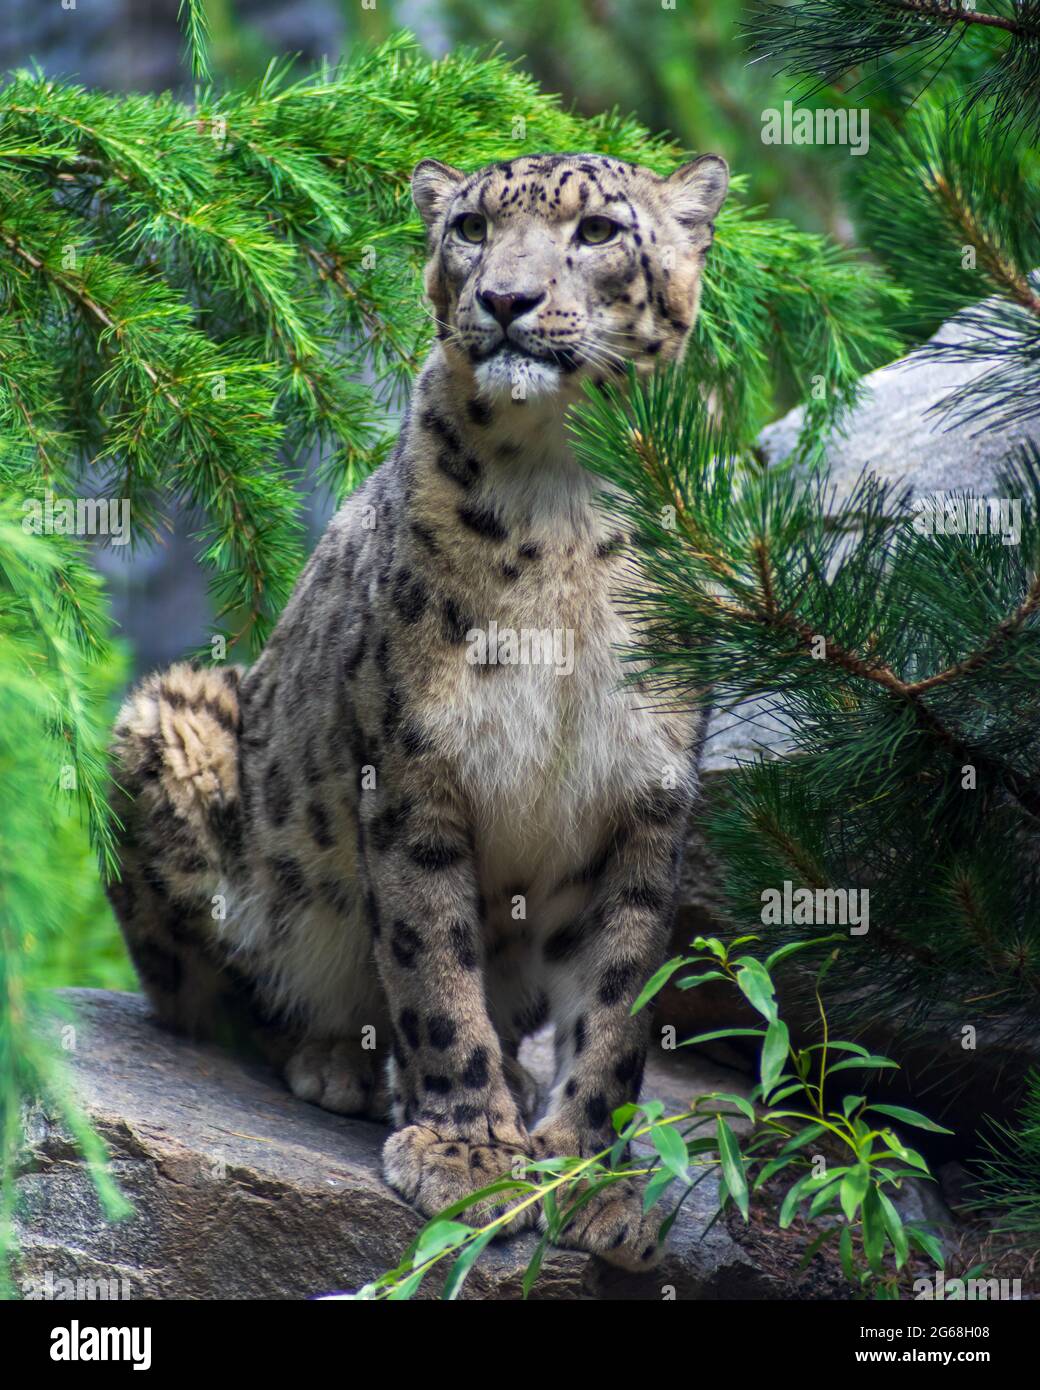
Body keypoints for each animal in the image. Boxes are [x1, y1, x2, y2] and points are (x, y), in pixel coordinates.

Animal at [106, 150, 729, 1271]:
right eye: (473, 227)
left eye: (598, 232)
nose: (506, 300)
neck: (567, 504)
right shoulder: (413, 768)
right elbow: (434, 967)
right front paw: (471, 1155)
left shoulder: (646, 796)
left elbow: (617, 1006)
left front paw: (587, 1178)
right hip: (176, 727)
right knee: (215, 1001)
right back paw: (342, 1062)